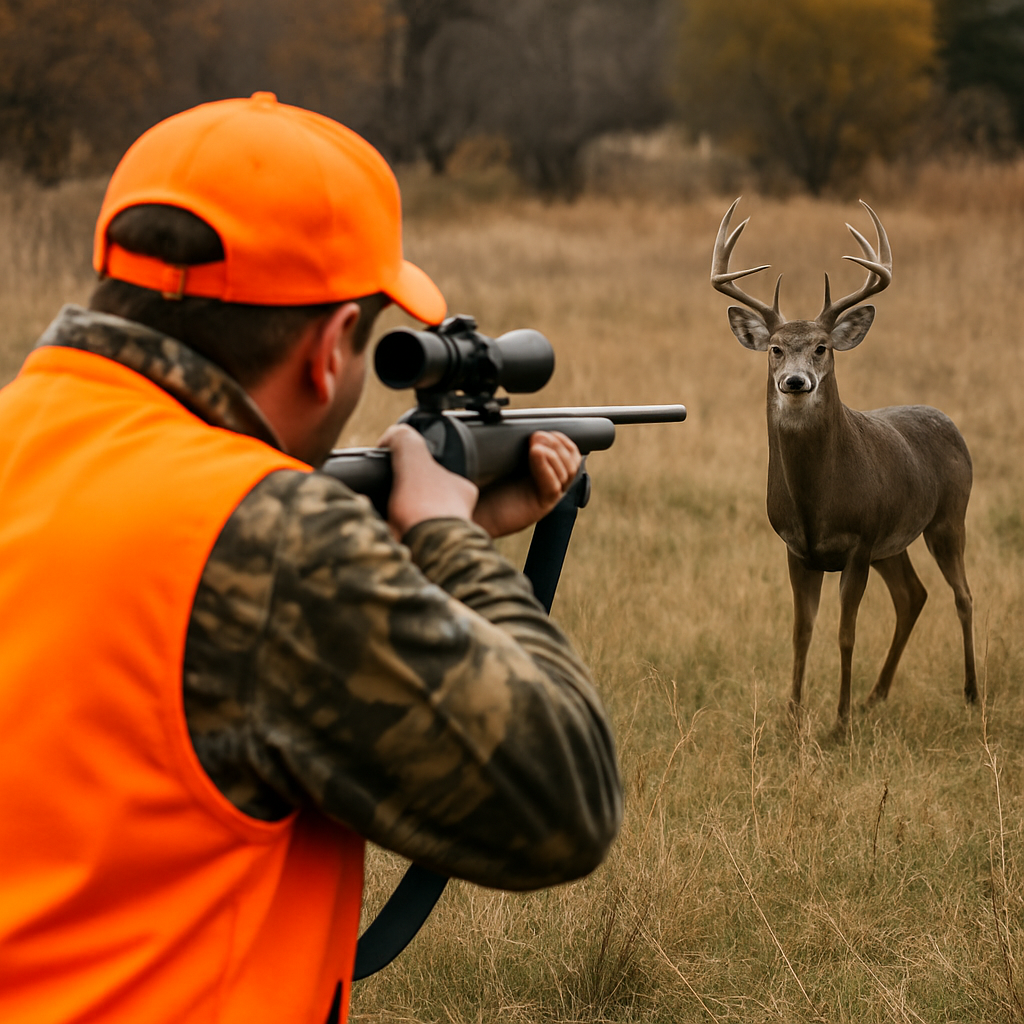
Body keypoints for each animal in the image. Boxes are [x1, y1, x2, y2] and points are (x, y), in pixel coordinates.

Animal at [711, 198, 977, 726]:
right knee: (913, 595)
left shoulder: (858, 541)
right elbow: (801, 632)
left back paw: (971, 695)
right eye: (775, 348)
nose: (795, 381)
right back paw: (877, 695)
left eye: (822, 347)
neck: (817, 504)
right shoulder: (797, 548)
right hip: (892, 544)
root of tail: (950, 422)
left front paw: (839, 722)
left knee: (962, 595)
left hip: (948, 517)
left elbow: (846, 633)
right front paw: (792, 718)